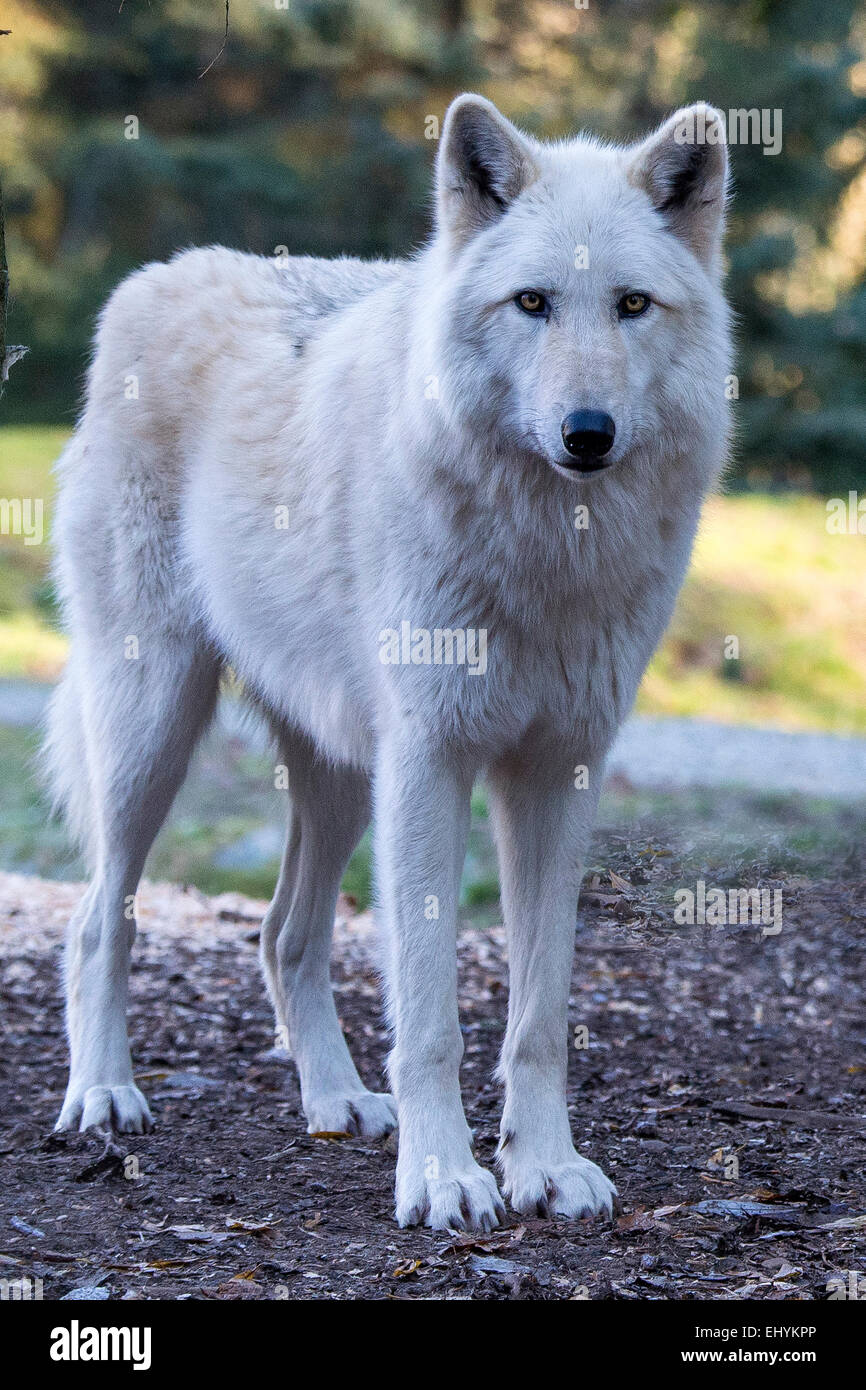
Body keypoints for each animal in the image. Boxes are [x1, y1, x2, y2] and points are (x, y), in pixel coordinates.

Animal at [45, 94, 731, 1231]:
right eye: (532, 302)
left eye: (631, 304)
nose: (586, 433)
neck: (546, 547)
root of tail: (153, 277)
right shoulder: (429, 763)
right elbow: (432, 1015)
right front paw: (446, 1176)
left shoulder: (559, 771)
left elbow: (540, 1015)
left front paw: (544, 1166)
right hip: (154, 730)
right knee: (100, 919)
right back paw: (103, 1095)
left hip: (334, 770)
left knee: (282, 935)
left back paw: (334, 1102)